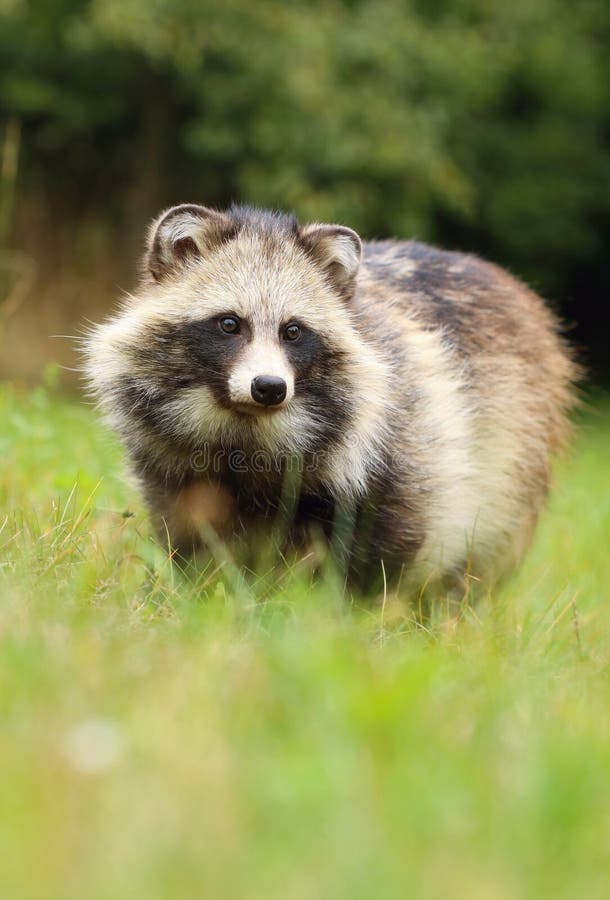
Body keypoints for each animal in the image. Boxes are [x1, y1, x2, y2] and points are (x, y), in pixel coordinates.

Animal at [84, 203, 576, 591]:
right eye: (229, 324)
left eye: (293, 331)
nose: (268, 387)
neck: (246, 430)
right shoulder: (172, 465)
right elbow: (192, 532)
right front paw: (205, 591)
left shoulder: (406, 434)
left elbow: (391, 542)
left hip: (515, 450)